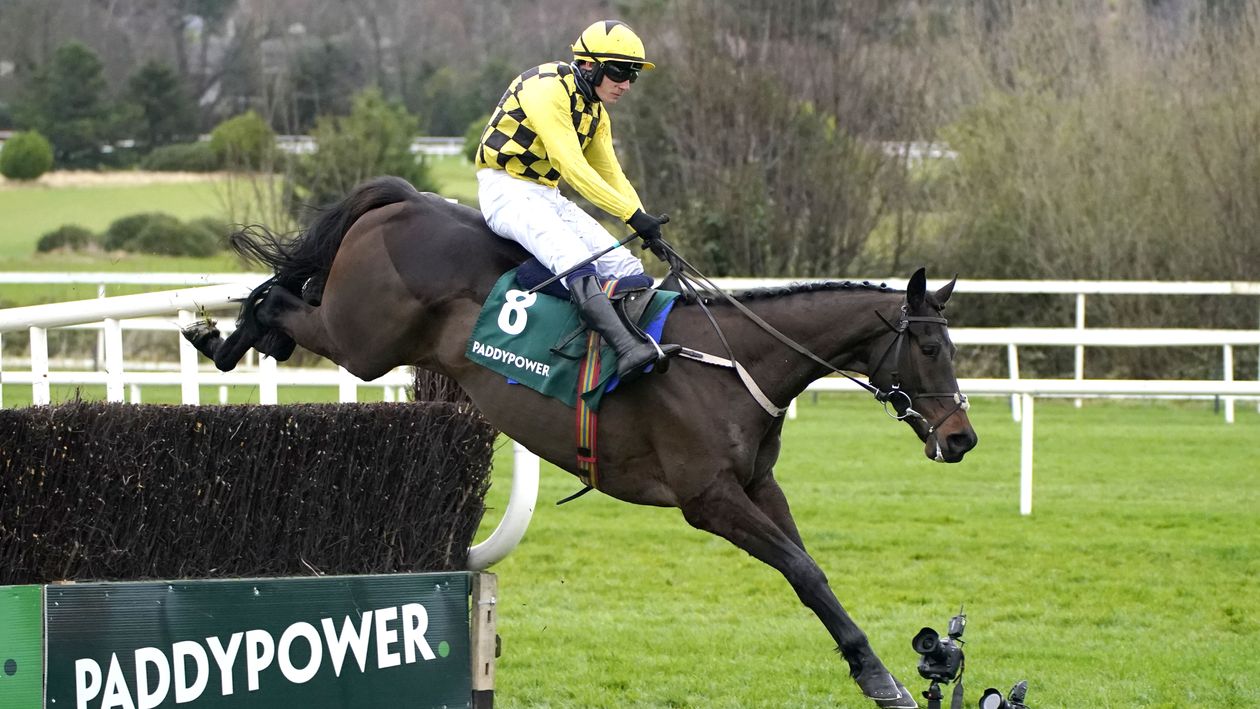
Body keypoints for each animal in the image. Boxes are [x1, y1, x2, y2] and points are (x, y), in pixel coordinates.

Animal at [186, 176, 978, 708]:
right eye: (930, 349)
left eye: (949, 346)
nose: (963, 437)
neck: (732, 360)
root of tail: (402, 199)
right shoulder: (709, 498)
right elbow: (802, 570)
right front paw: (883, 678)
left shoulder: (758, 485)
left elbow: (812, 573)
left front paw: (875, 669)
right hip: (362, 340)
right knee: (280, 299)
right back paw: (222, 336)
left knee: (288, 296)